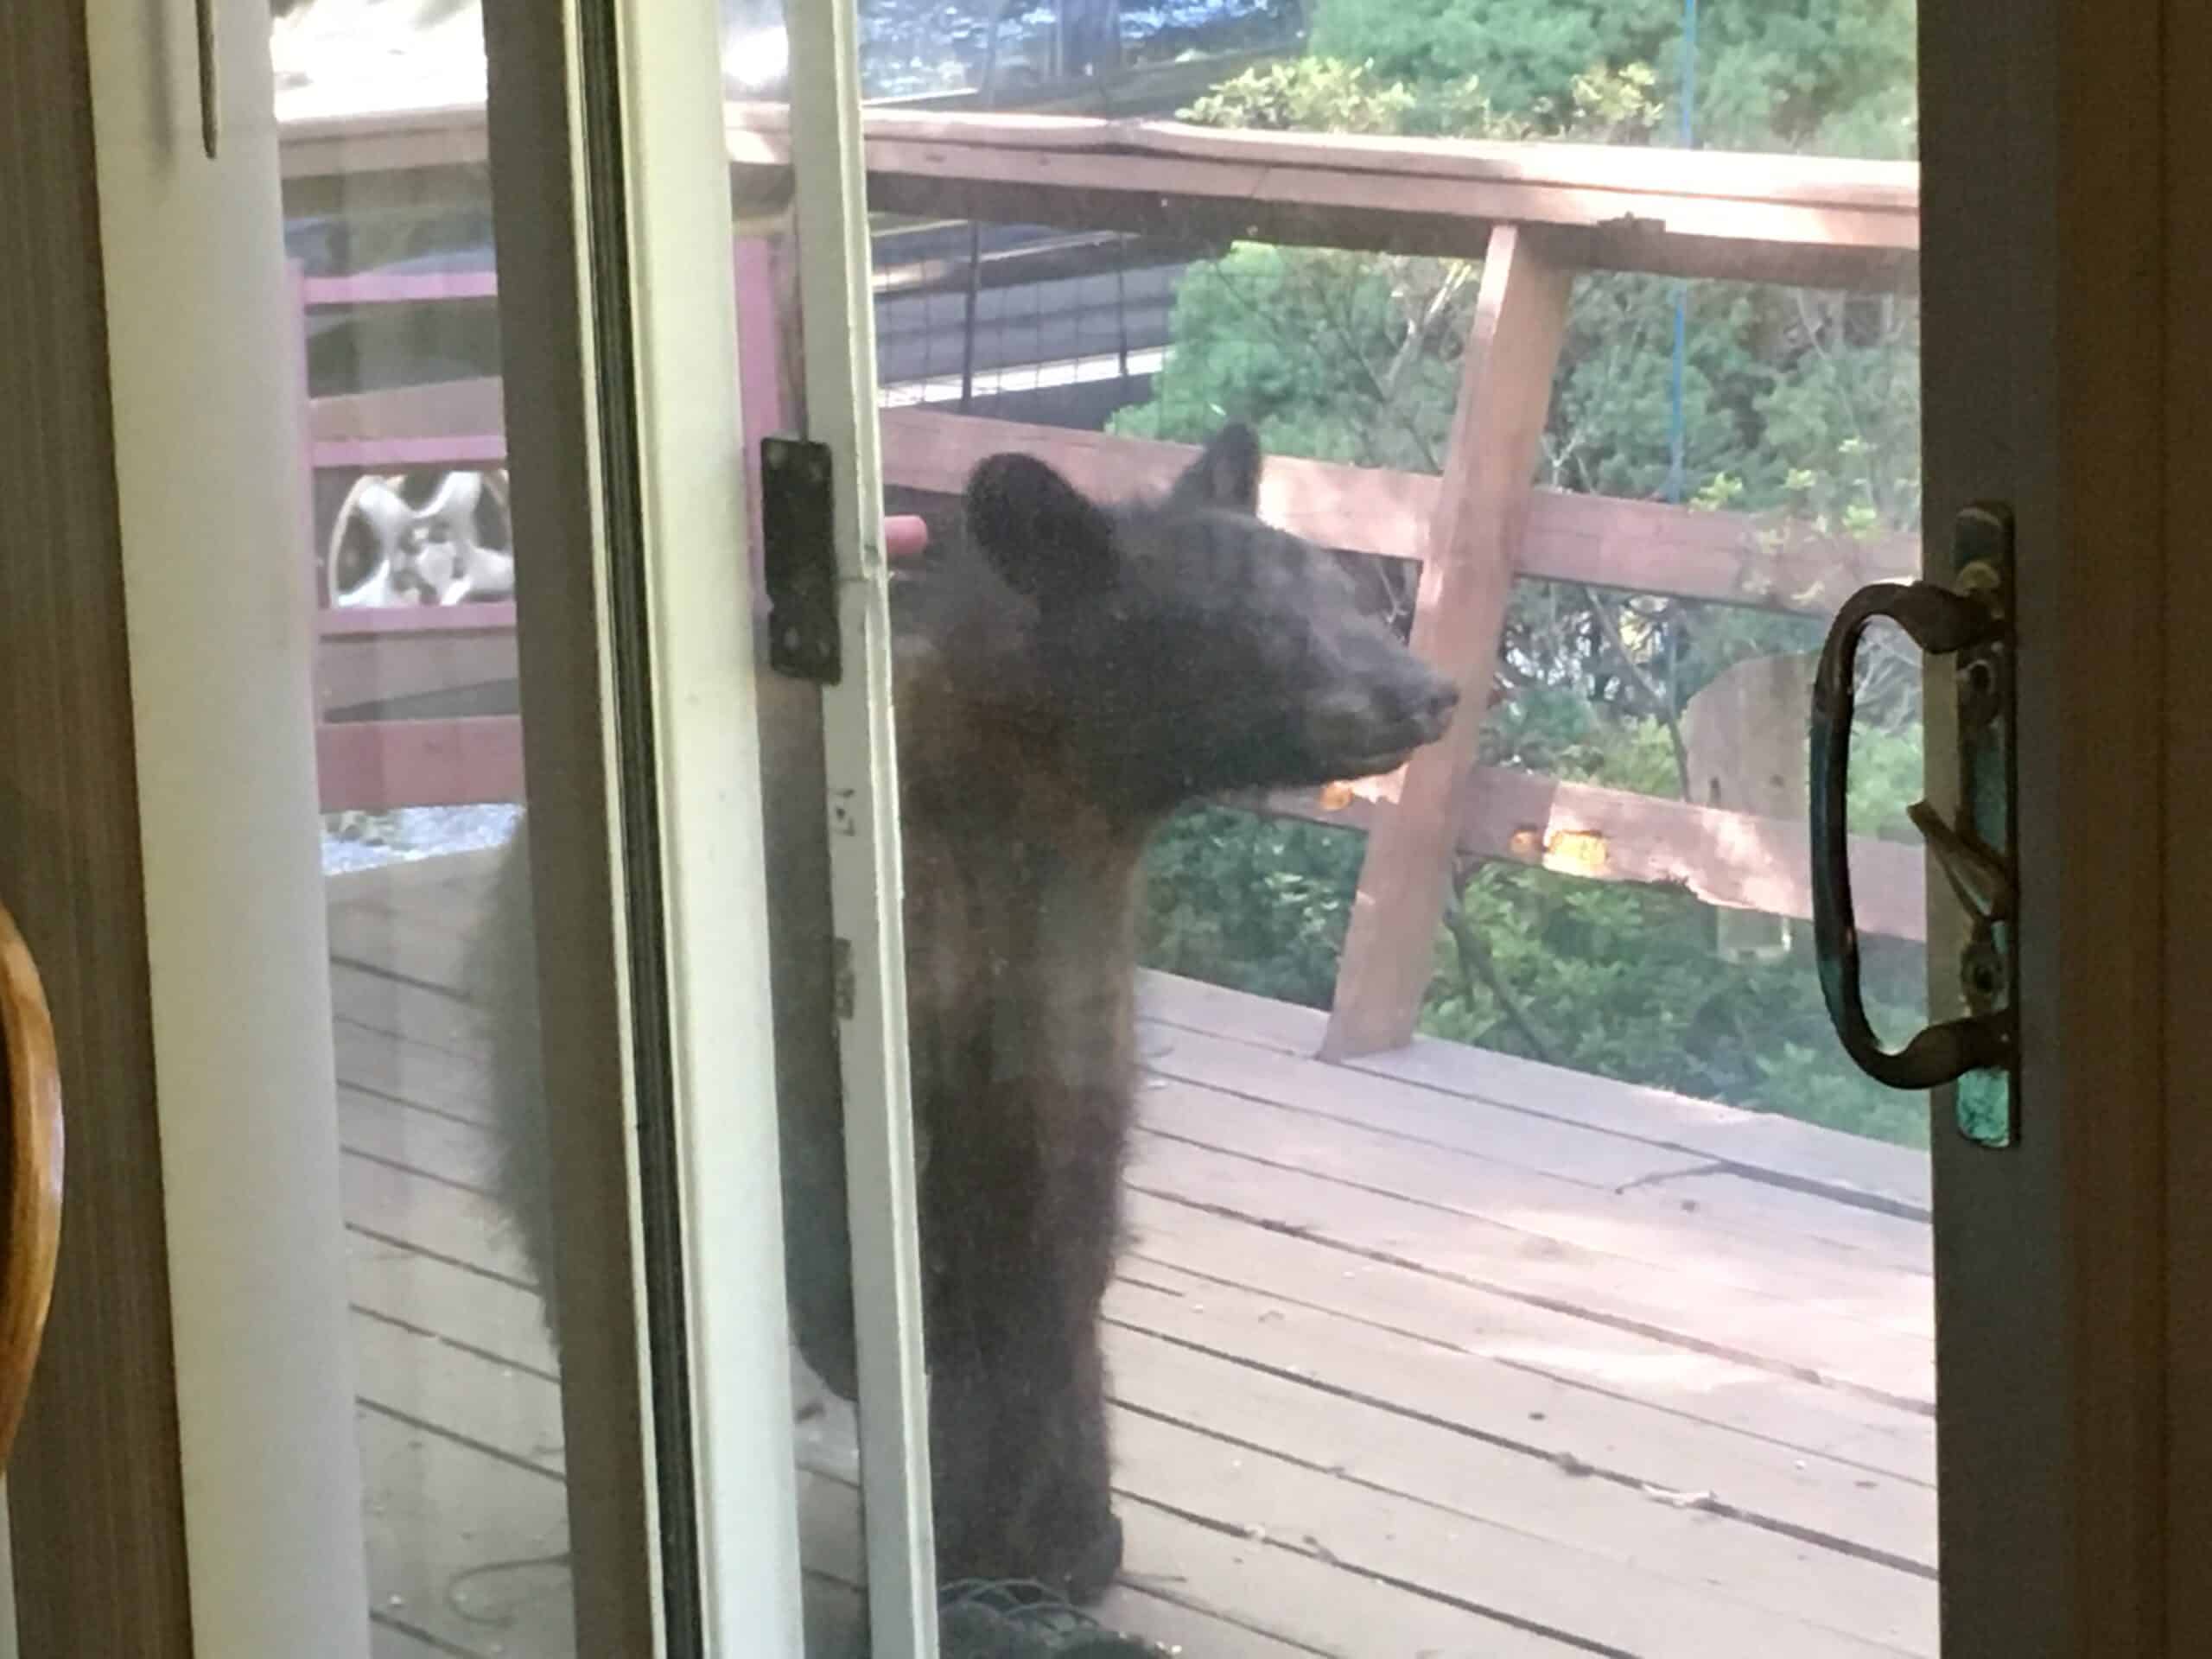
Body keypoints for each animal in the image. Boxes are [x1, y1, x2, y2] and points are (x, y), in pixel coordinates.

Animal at [467, 424, 1460, 1607]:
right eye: (1249, 616)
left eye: (1336, 586)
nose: (1430, 690)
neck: (1032, 808)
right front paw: (961, 1518)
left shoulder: (1067, 983)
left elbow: (1056, 1248)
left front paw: (1058, 1536)